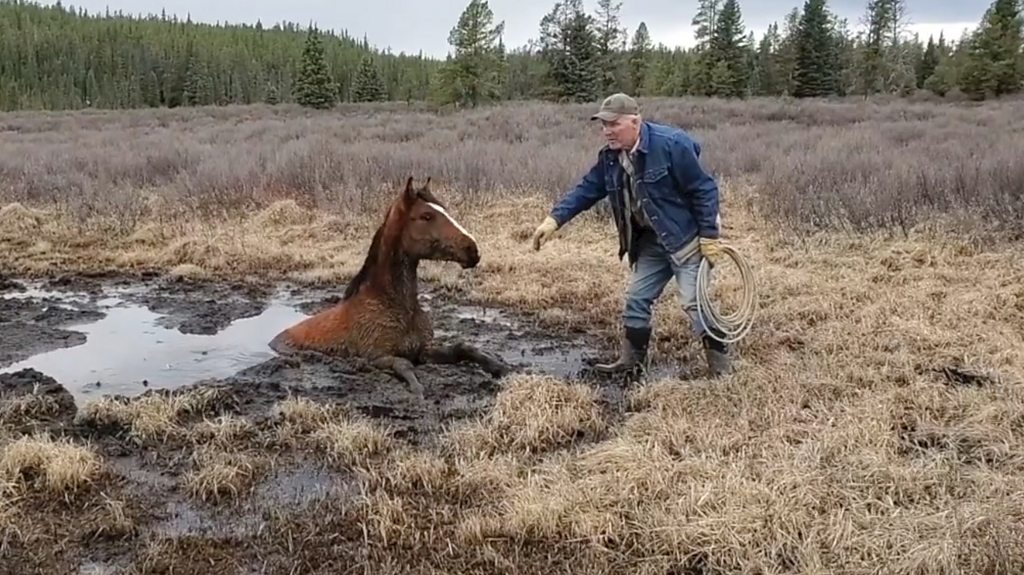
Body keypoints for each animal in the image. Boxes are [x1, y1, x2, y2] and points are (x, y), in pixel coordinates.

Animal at [268, 176, 510, 396]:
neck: (395, 305)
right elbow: (403, 364)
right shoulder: (376, 357)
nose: (473, 250)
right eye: (426, 216)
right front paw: (417, 389)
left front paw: (501, 368)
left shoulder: (422, 351)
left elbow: (463, 348)